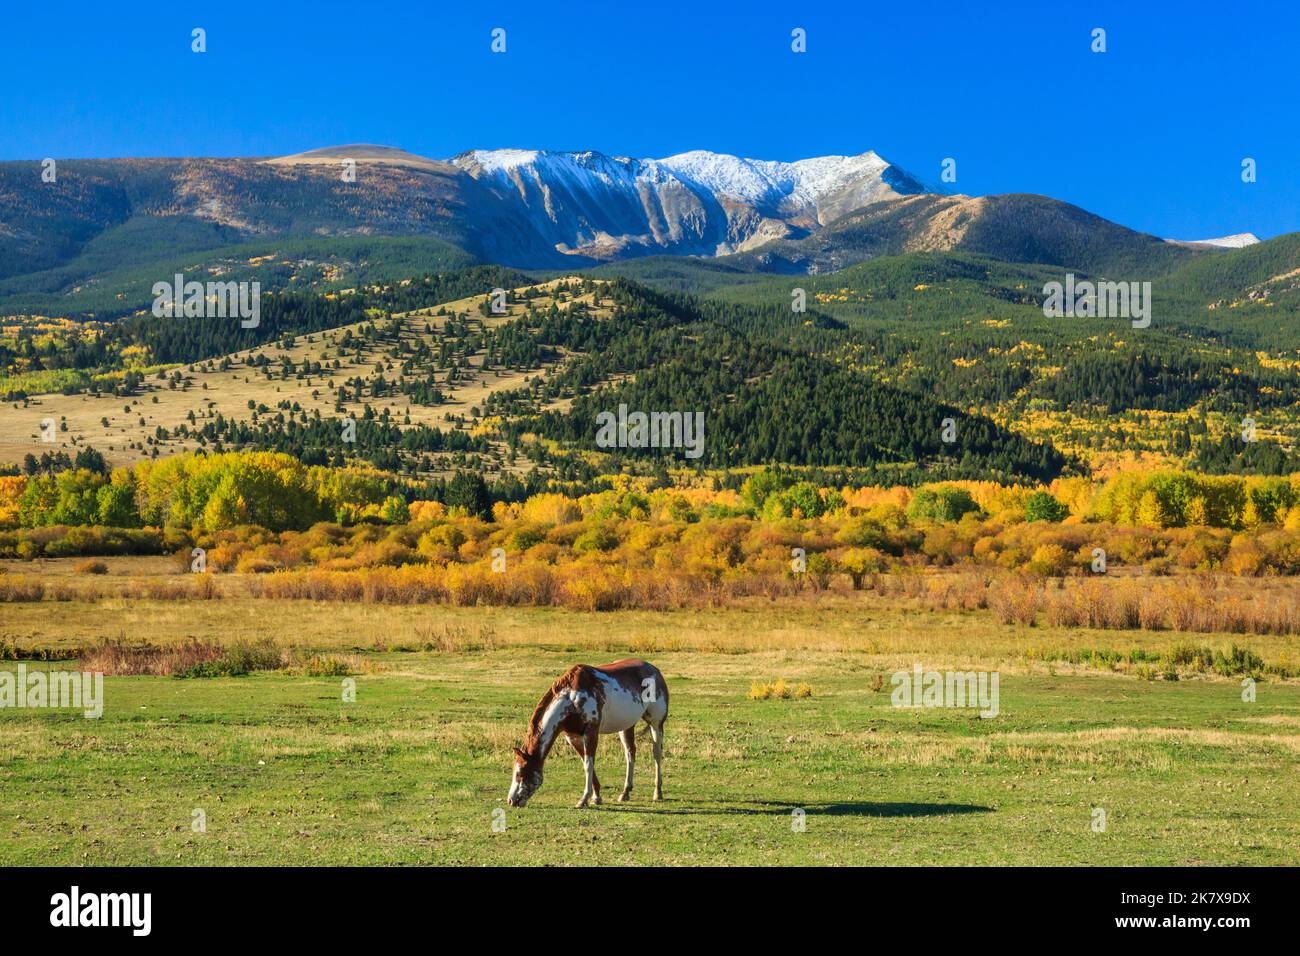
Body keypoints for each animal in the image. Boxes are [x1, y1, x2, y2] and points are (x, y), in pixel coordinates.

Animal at [507, 659, 668, 809]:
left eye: (520, 773)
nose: (511, 800)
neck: (572, 699)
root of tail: (655, 670)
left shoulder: (591, 732)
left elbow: (588, 765)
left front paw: (584, 799)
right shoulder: (572, 736)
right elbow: (585, 761)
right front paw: (596, 797)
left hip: (656, 724)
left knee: (657, 754)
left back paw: (658, 792)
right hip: (626, 725)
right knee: (630, 753)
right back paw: (625, 793)